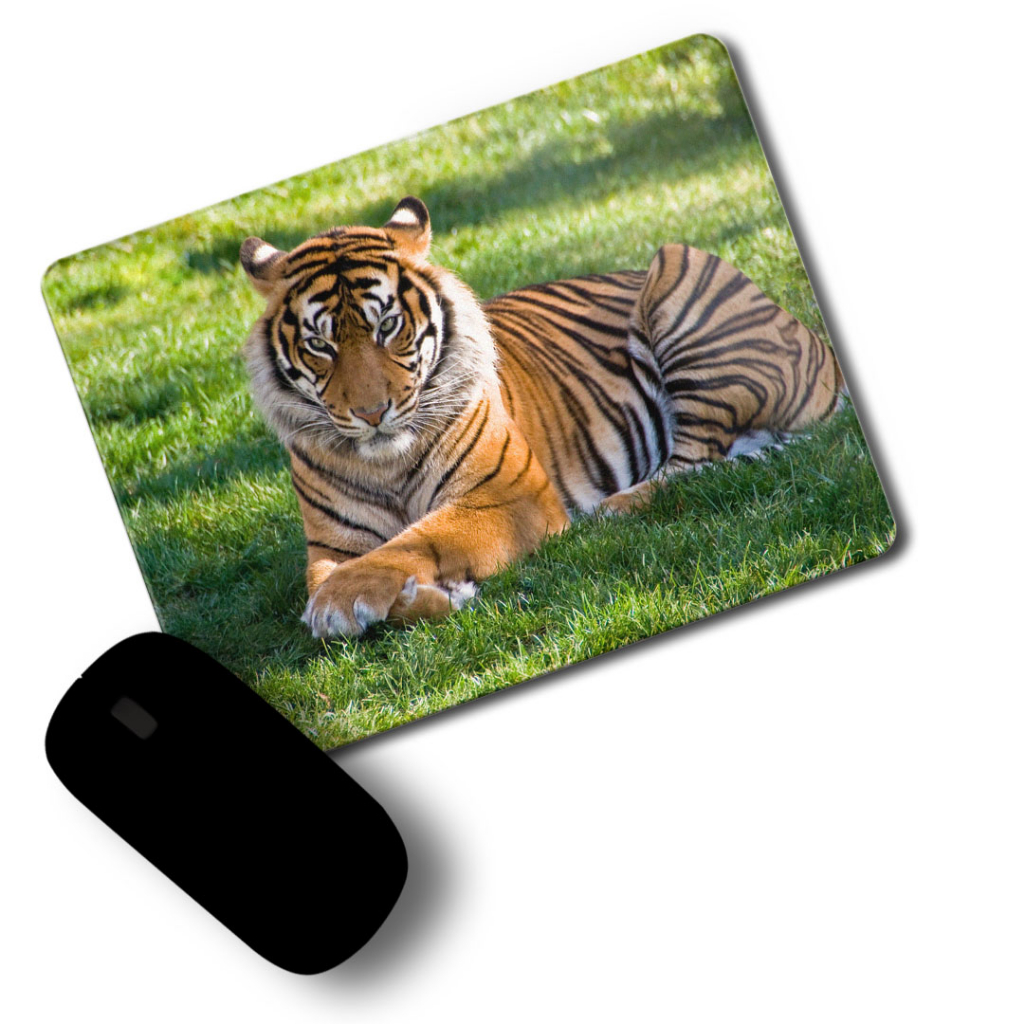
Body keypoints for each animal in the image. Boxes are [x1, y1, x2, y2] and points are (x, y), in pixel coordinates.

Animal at [240, 196, 845, 638]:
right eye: (320, 345)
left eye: (387, 326)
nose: (371, 413)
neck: (385, 461)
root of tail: (822, 349)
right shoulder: (332, 544)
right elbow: (338, 573)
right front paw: (427, 595)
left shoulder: (507, 495)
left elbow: (417, 539)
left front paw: (342, 601)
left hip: (677, 266)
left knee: (694, 461)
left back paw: (614, 508)